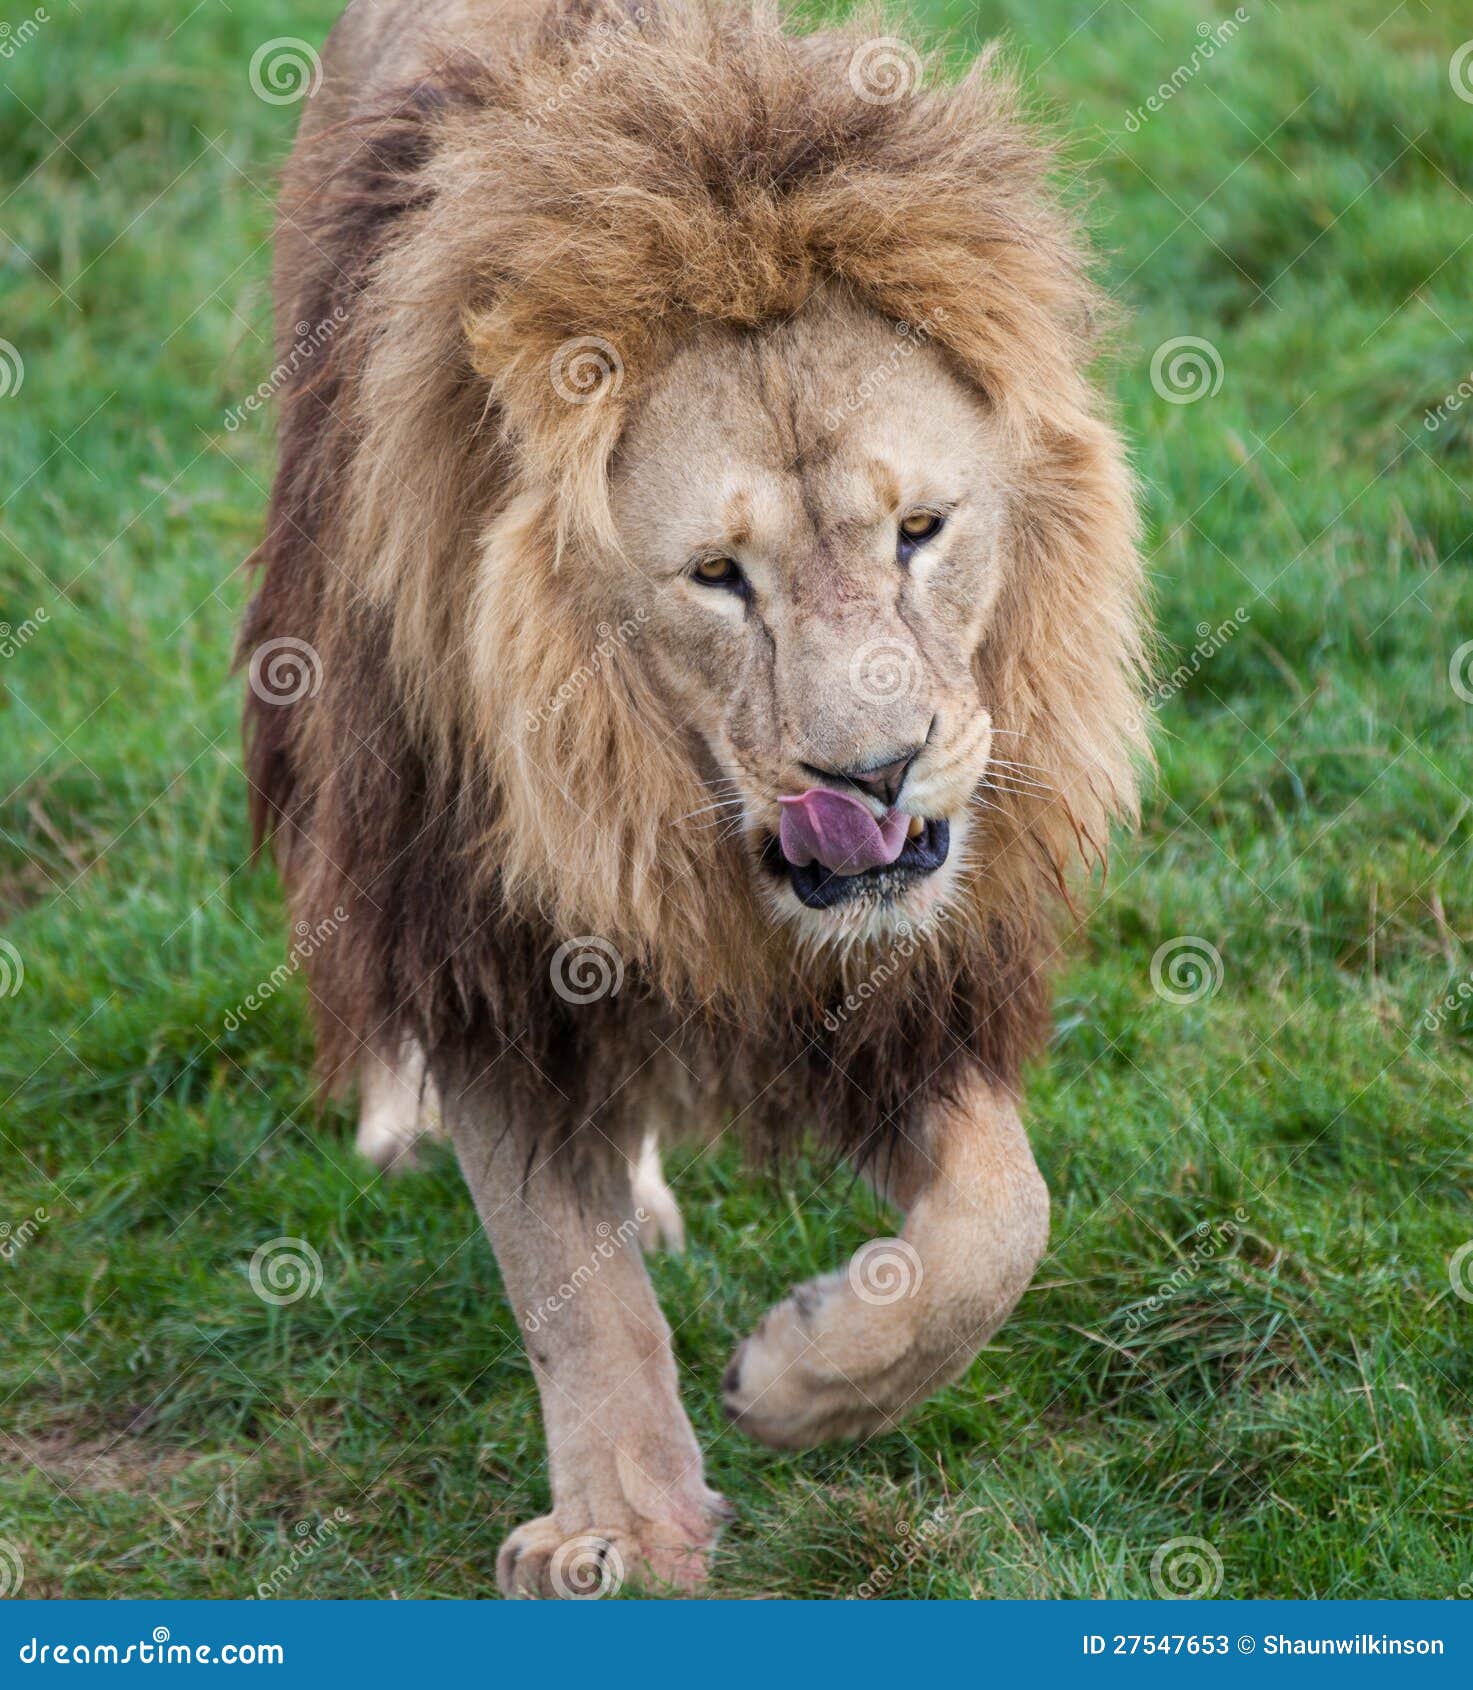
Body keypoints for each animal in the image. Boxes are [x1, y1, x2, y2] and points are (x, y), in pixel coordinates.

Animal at [241, 0, 1149, 1596]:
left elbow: (1003, 1222)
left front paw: (809, 1374)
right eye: (717, 576)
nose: (874, 771)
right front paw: (621, 1522)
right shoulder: (486, 937)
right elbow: (565, 1274)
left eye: (921, 530)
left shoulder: (911, 981)